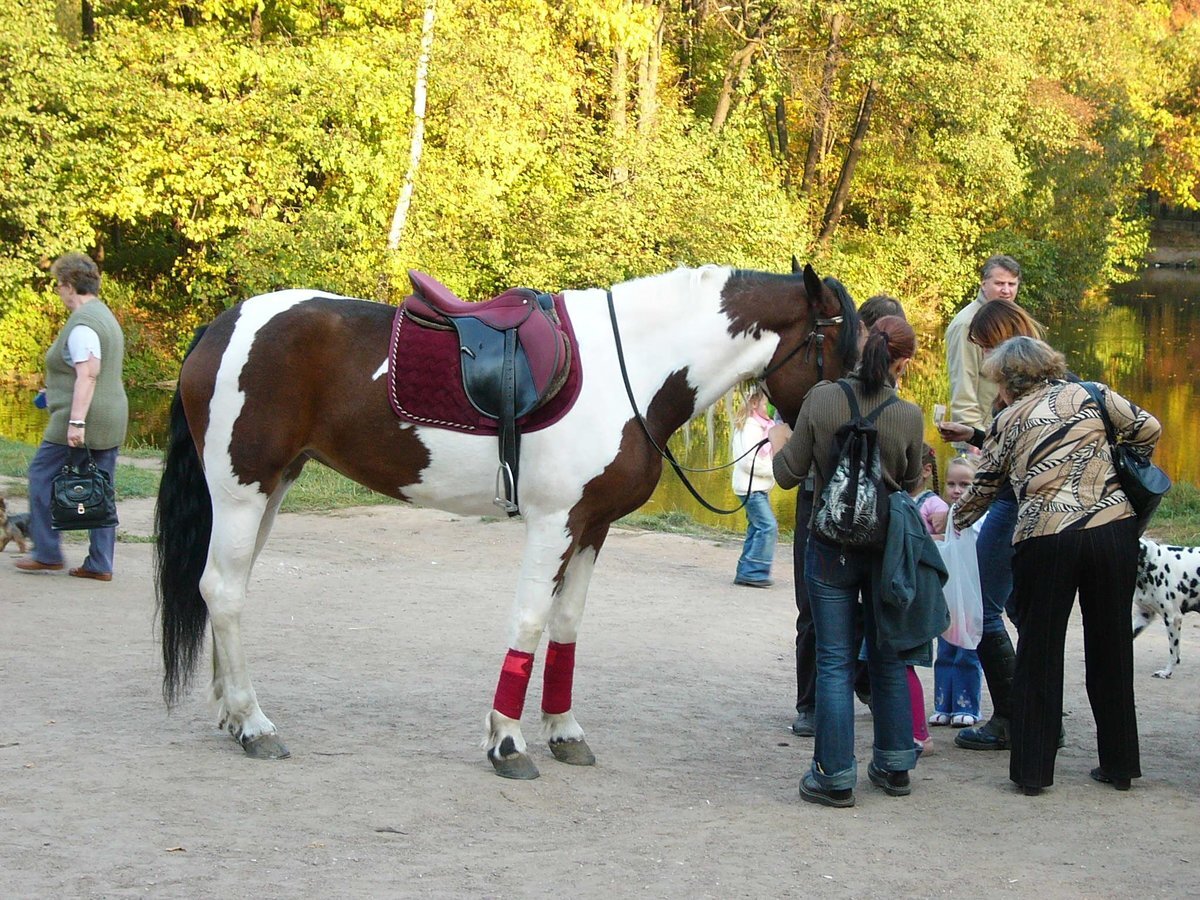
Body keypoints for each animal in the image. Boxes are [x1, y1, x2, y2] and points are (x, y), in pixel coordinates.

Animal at [154, 264, 859, 777]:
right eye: (840, 353)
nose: (851, 445)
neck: (632, 366)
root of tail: (223, 325)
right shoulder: (554, 523)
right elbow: (528, 621)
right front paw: (508, 743)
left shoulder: (592, 526)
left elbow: (567, 625)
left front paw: (564, 732)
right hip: (242, 490)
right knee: (223, 590)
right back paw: (252, 724)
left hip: (271, 489)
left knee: (226, 594)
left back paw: (232, 715)